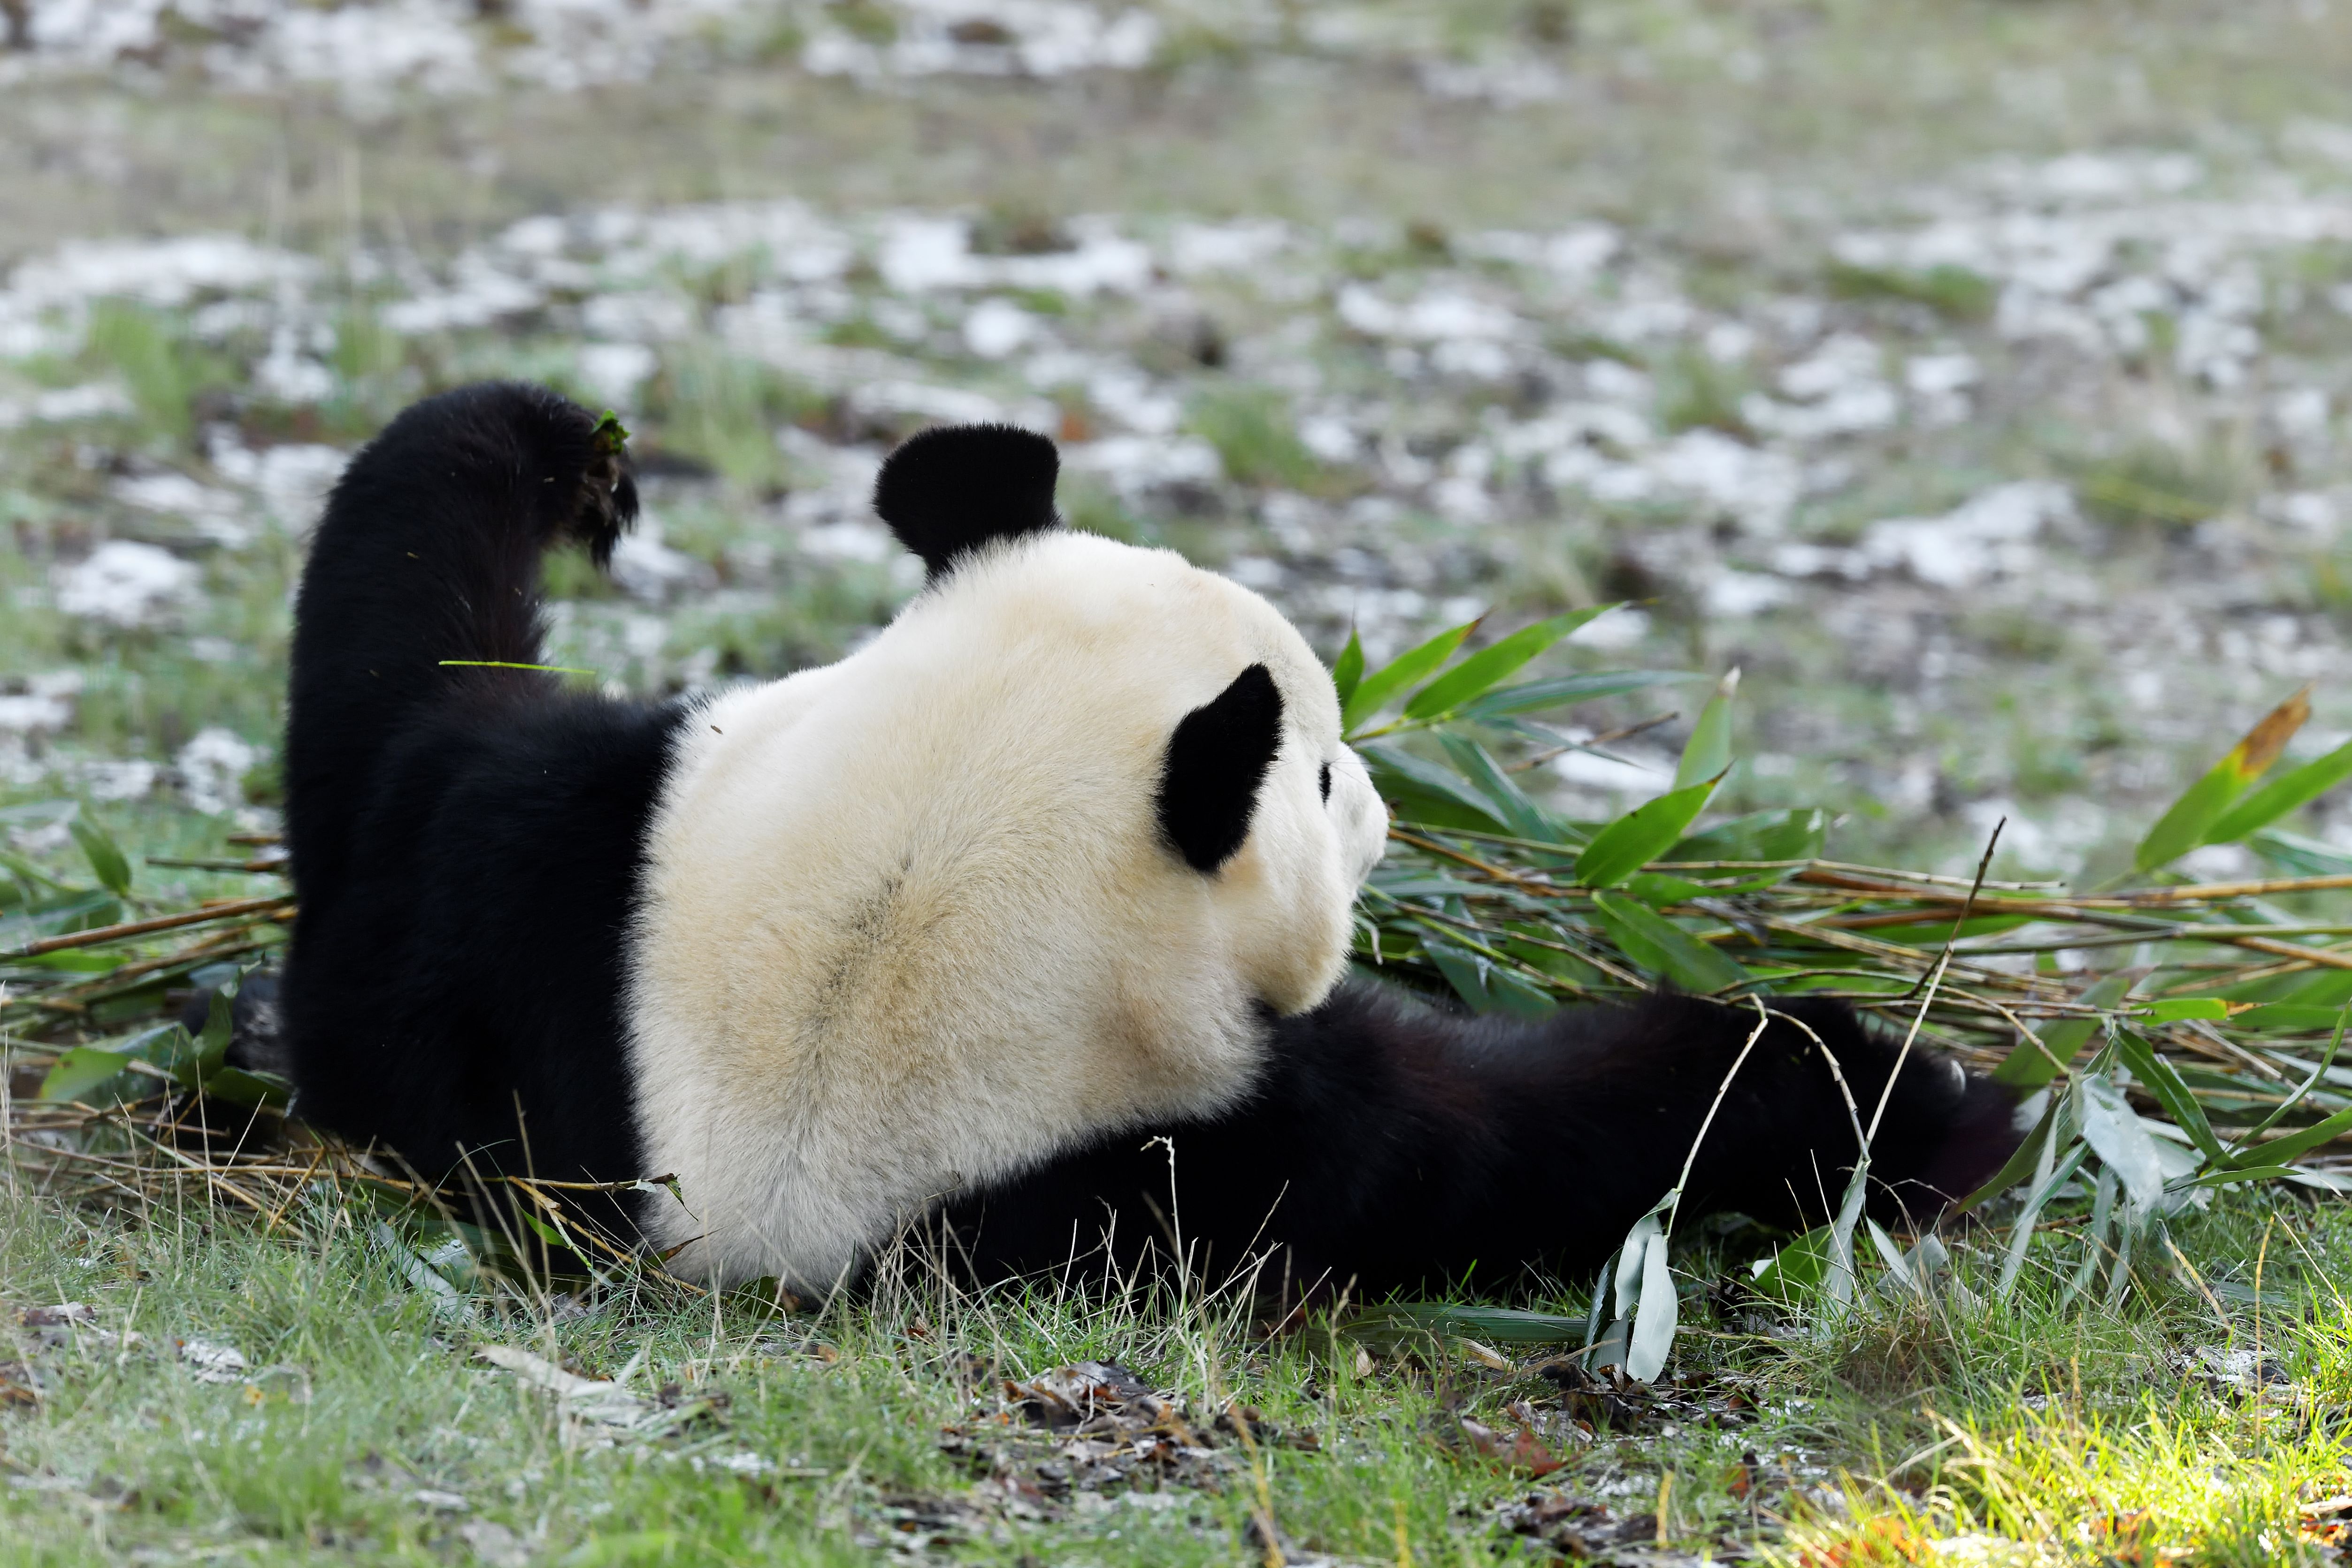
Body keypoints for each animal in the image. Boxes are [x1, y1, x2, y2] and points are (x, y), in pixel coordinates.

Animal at [275, 381, 2018, 1298]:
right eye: (1324, 773)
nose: (1386, 811)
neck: (870, 922)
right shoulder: (1238, 1131)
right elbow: (1544, 1139)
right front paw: (1906, 1091)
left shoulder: (568, 857)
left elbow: (396, 720)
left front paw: (551, 449)